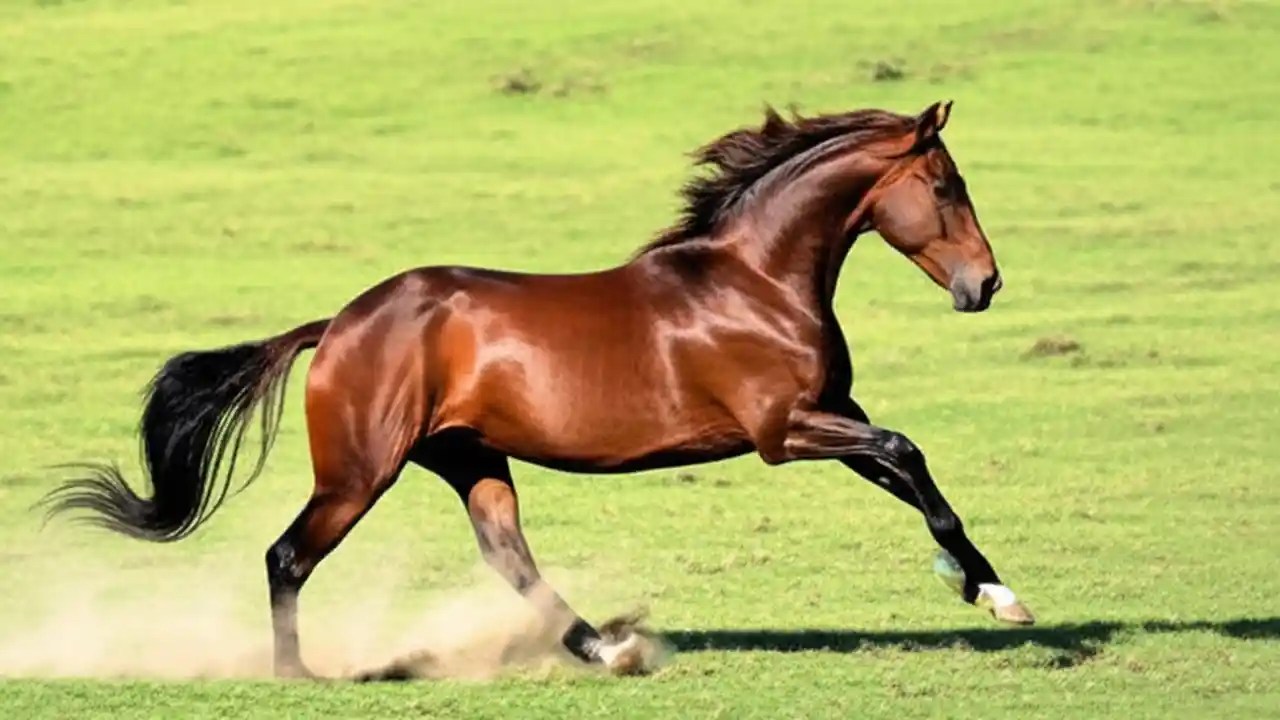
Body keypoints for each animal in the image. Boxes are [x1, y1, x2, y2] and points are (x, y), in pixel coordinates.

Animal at [41, 99, 1030, 679]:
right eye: (947, 186)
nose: (984, 285)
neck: (752, 279)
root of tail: (342, 323)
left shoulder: (833, 415)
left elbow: (912, 476)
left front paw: (983, 586)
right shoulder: (785, 431)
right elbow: (909, 454)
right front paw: (989, 591)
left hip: (468, 458)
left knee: (507, 555)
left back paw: (608, 646)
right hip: (360, 471)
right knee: (288, 556)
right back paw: (299, 676)